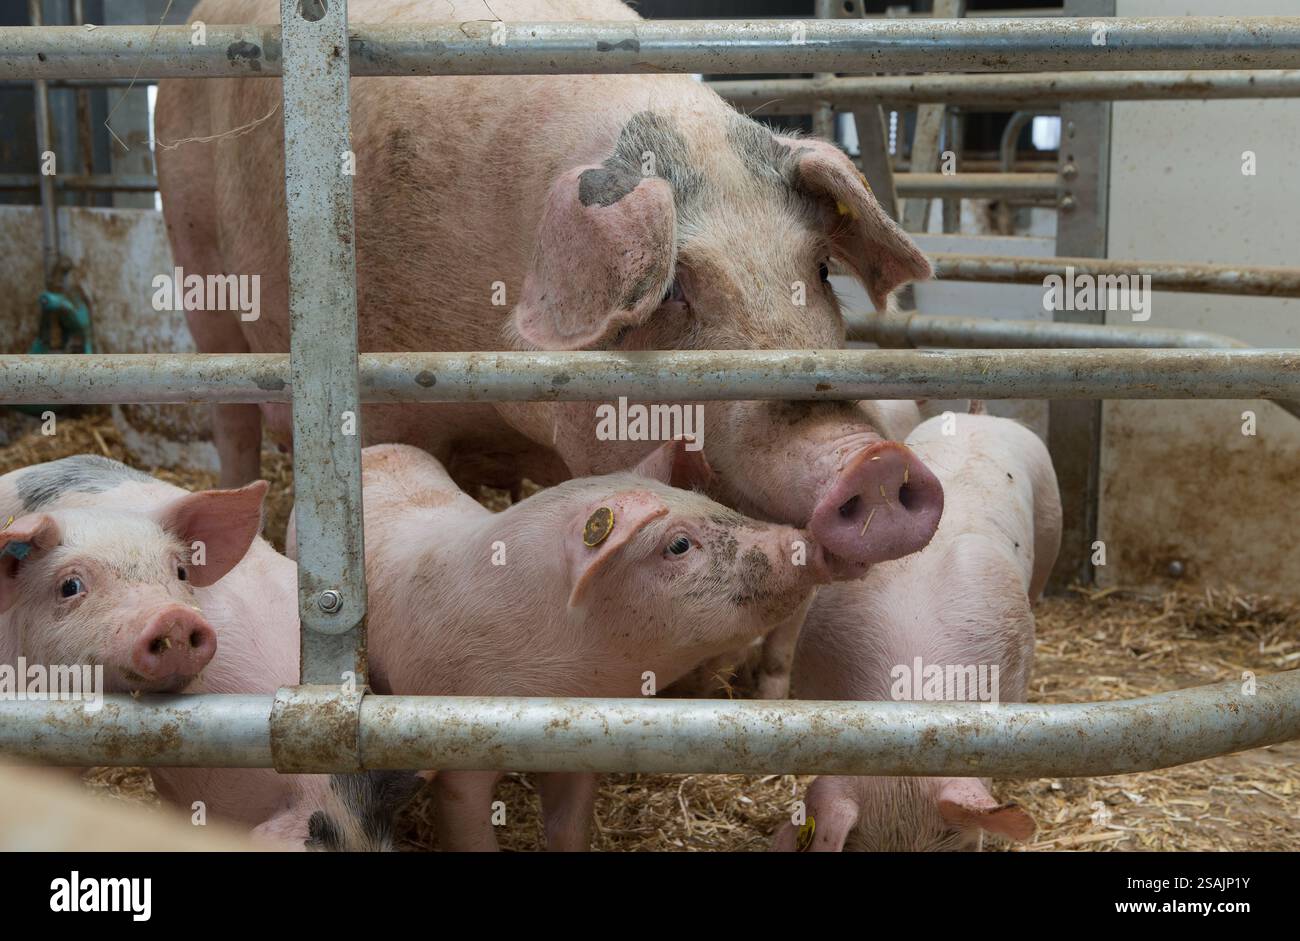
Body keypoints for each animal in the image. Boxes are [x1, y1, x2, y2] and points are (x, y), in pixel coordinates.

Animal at [321, 438, 862, 850]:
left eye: (718, 506)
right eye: (678, 544)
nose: (805, 539)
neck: (548, 681)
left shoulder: (581, 739)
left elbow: (571, 827)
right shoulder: (447, 751)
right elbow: (471, 831)